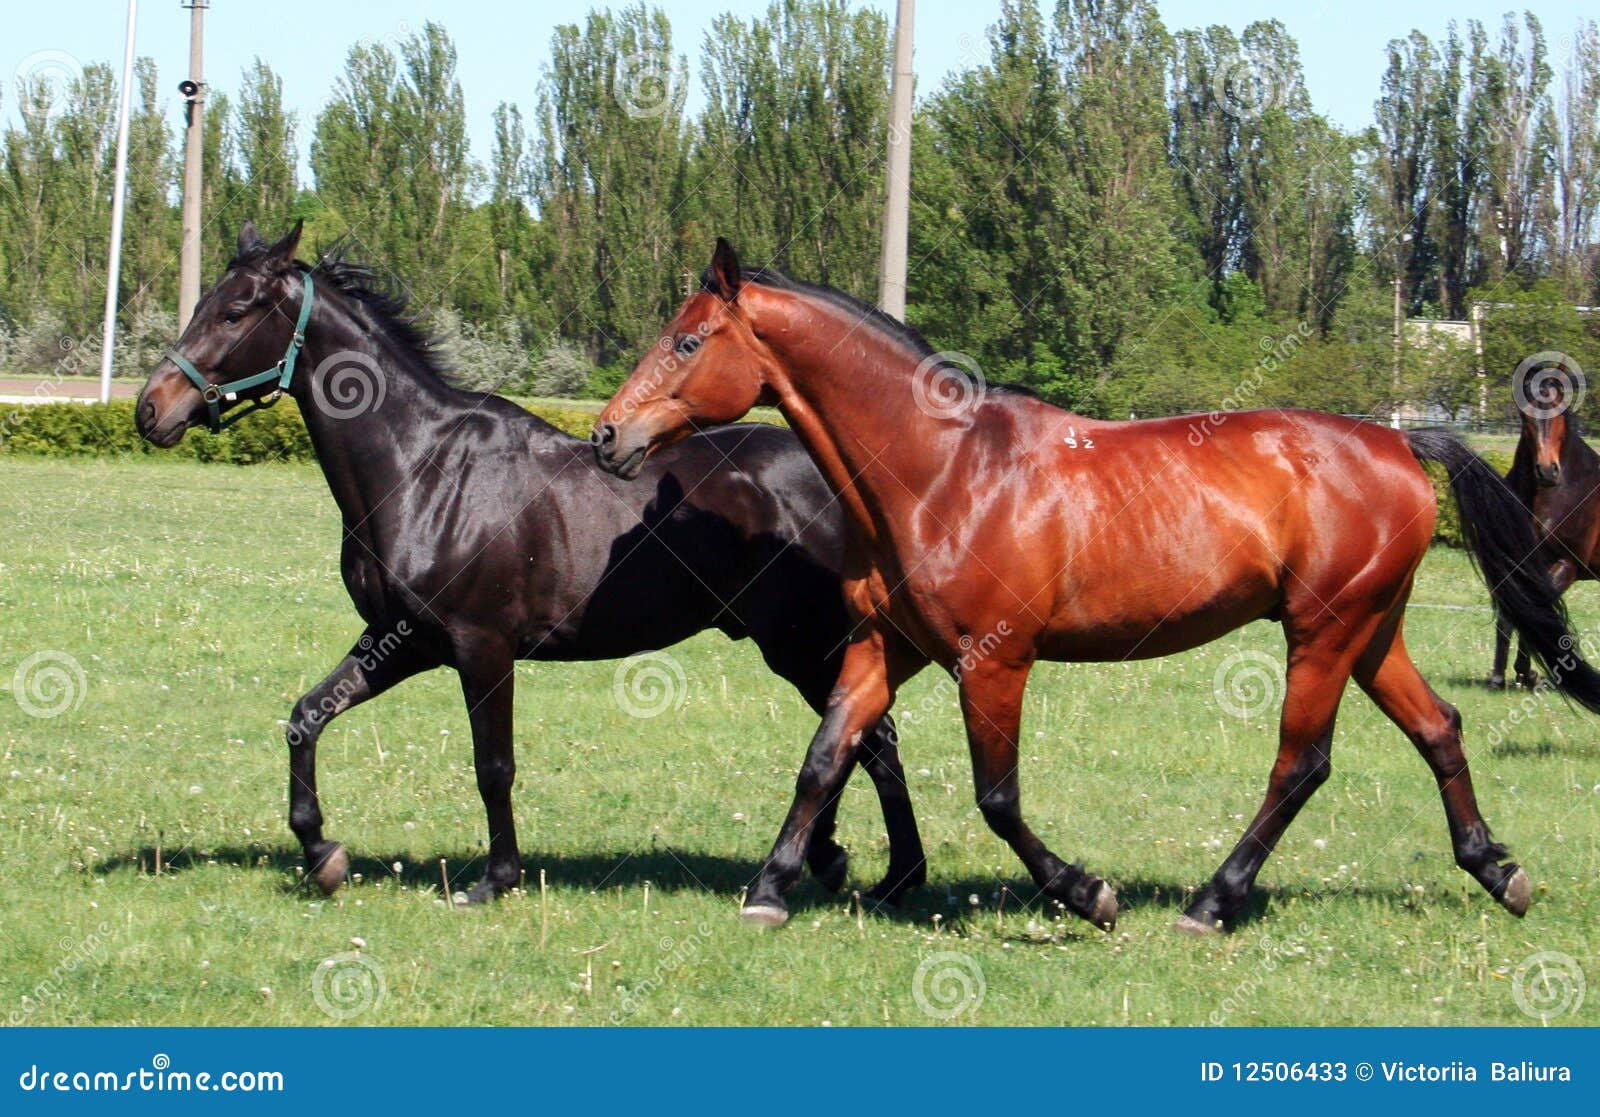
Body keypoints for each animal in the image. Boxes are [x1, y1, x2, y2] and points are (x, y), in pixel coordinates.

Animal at [133, 221, 927, 905]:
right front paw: (322, 854)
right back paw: (852, 864)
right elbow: (306, 718)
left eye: (235, 312)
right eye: (202, 303)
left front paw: (496, 878)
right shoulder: (400, 641)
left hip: (802, 642)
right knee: (864, 739)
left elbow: (494, 766)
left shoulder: (482, 647)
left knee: (871, 740)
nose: (150, 410)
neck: (420, 469)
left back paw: (876, 872)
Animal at [1490, 373, 1600, 688]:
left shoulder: (1566, 565)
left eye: (1562, 413)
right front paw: (1504, 675)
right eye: (1525, 416)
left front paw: (1527, 673)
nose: (1547, 471)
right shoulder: (1517, 564)